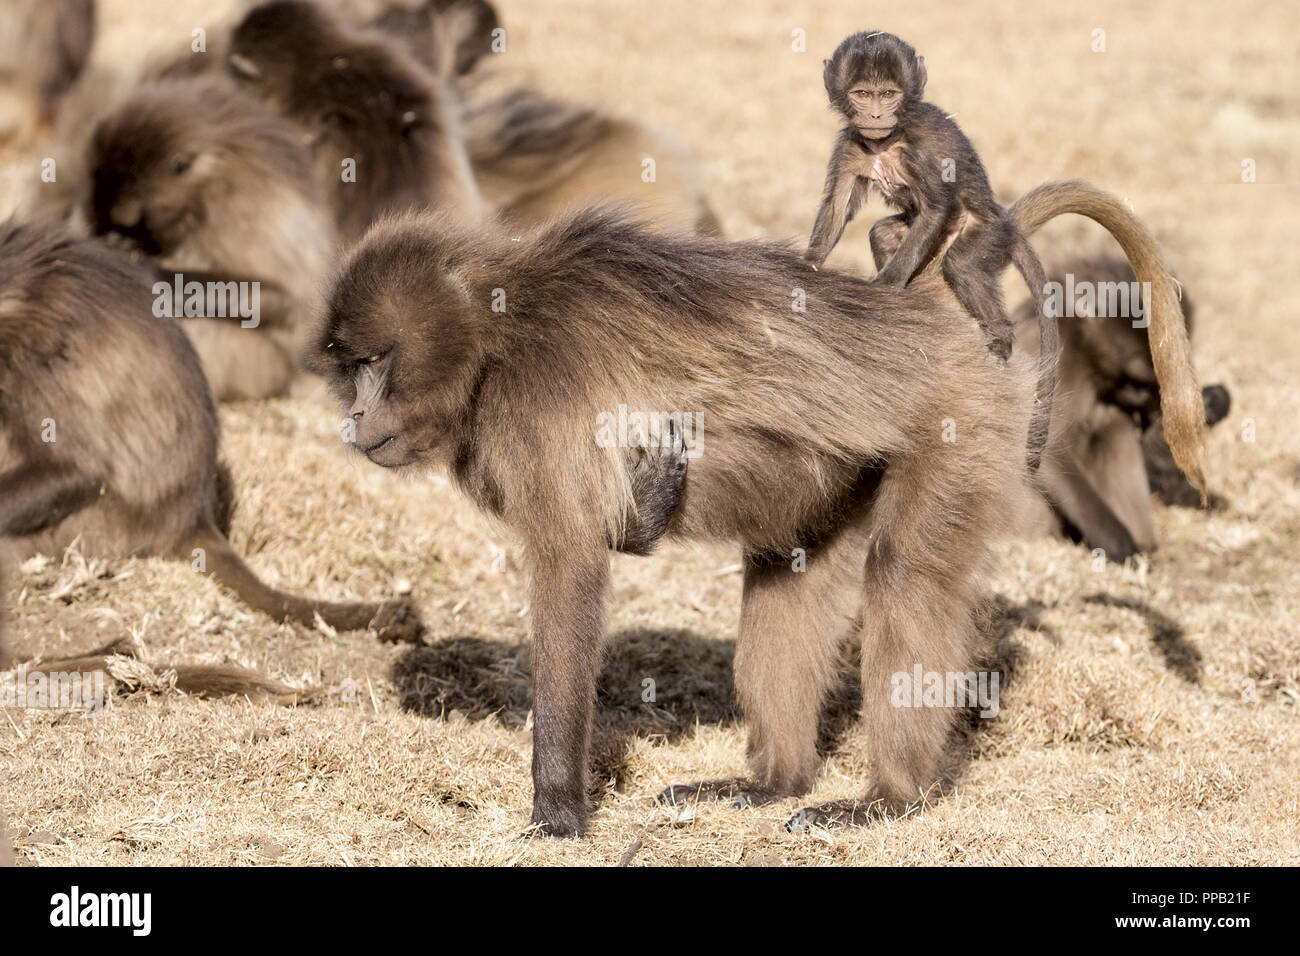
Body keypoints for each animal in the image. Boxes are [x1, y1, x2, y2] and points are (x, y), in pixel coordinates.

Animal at [307, 177, 1204, 837]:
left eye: (374, 362)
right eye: (347, 370)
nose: (354, 423)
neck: (498, 332)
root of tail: (933, 312)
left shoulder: (544, 403)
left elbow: (572, 571)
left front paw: (557, 809)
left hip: (961, 422)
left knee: (903, 575)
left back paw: (887, 799)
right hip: (846, 470)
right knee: (784, 579)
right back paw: (775, 781)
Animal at [806, 32, 1058, 470]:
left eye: (888, 94)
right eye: (863, 94)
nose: (875, 116)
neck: (889, 141)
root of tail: (1004, 219)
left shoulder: (920, 149)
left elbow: (937, 207)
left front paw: (885, 286)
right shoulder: (852, 144)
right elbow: (837, 208)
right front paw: (808, 266)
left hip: (987, 232)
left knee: (962, 266)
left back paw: (1000, 340)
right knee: (884, 234)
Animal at [1010, 256, 1231, 559]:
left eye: (1153, 385)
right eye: (1134, 382)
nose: (1145, 400)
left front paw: (1211, 403)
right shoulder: (1045, 348)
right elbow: (1040, 446)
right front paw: (1120, 544)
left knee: (1113, 424)